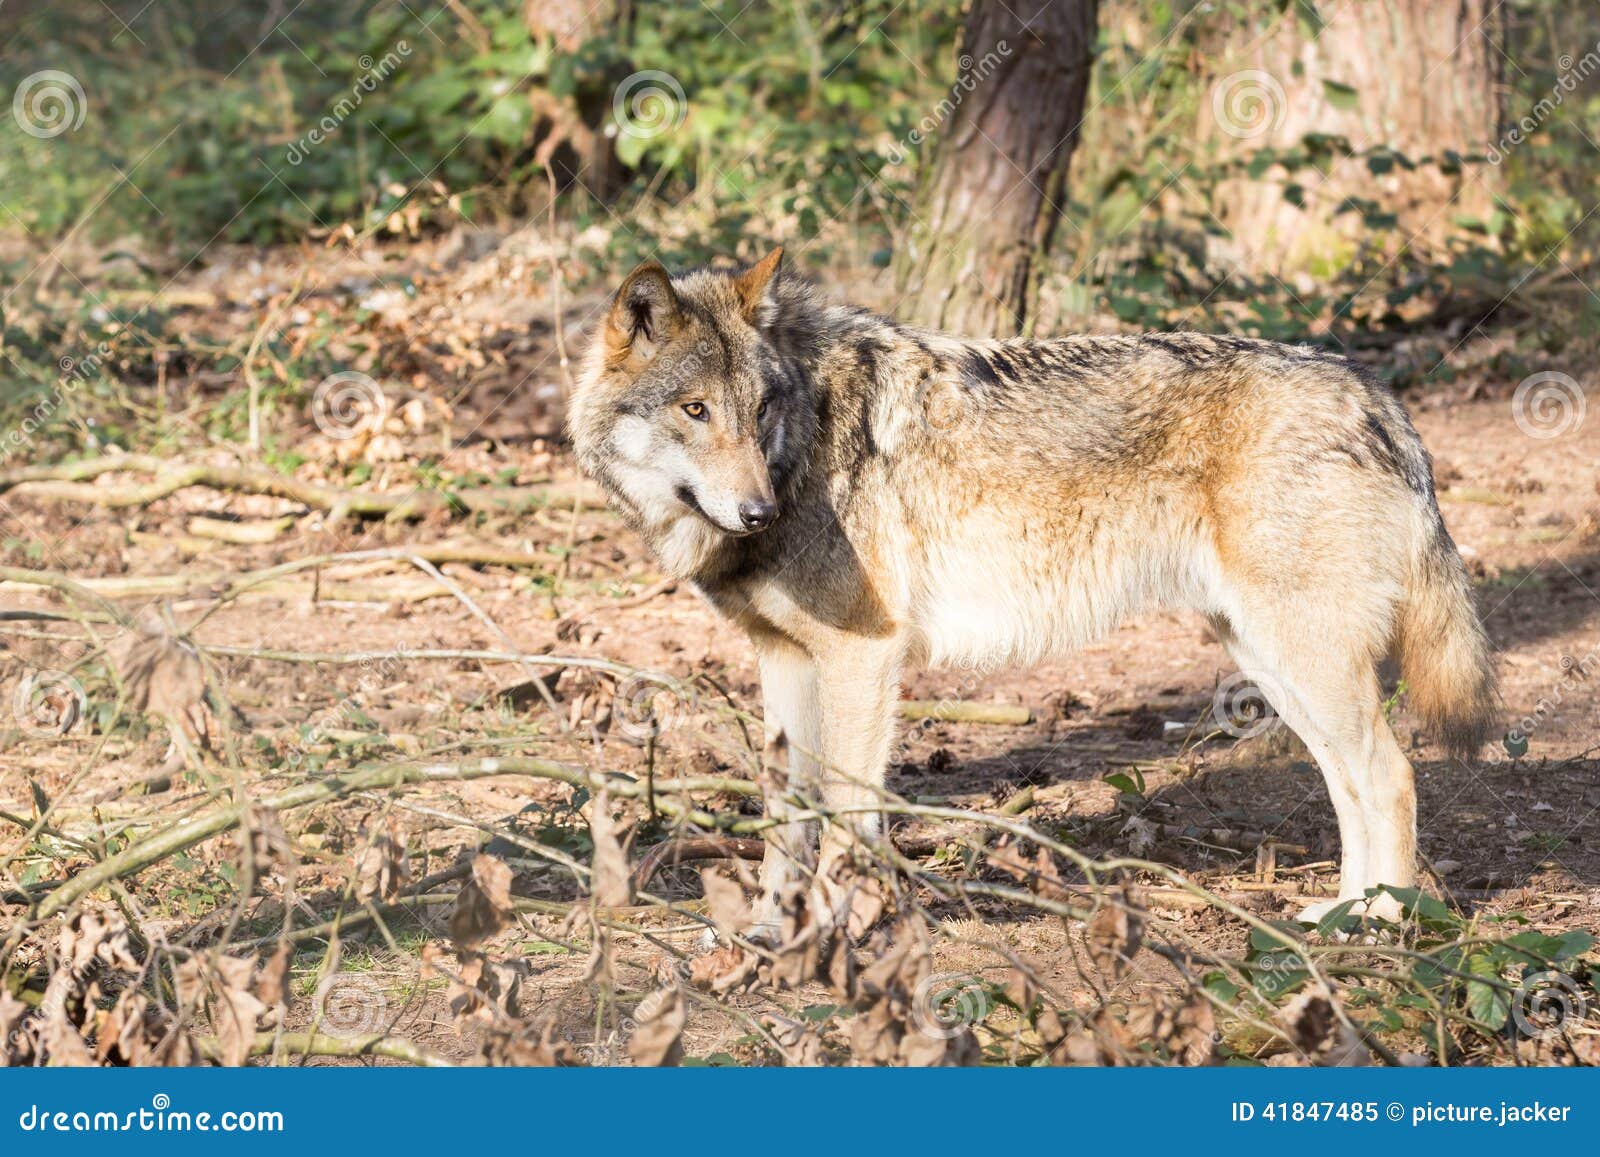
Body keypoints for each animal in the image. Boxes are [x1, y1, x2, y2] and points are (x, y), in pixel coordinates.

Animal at [569, 248, 1497, 927]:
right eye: (694, 410)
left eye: (758, 409)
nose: (757, 510)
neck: (804, 440)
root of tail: (1377, 393)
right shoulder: (785, 660)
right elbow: (786, 816)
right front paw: (770, 932)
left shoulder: (863, 656)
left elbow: (846, 812)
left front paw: (841, 932)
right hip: (1270, 660)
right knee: (1348, 781)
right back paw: (1339, 917)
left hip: (1300, 656)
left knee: (1391, 773)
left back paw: (1384, 927)